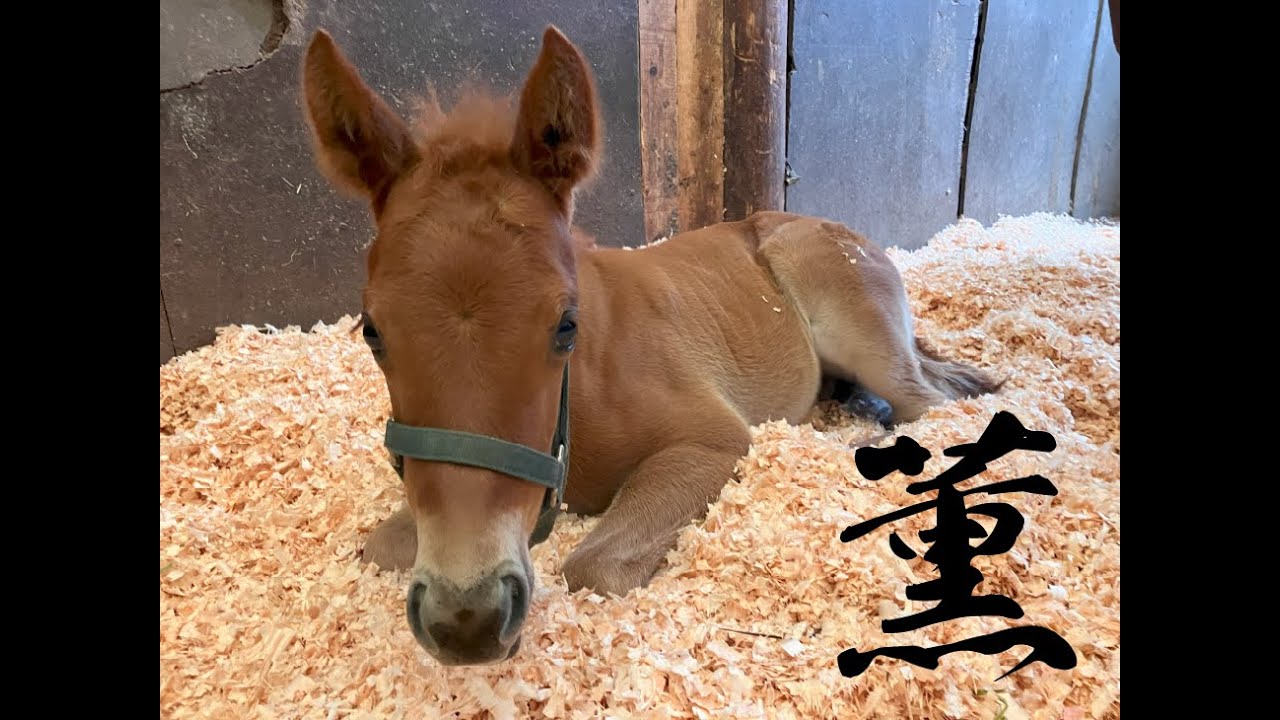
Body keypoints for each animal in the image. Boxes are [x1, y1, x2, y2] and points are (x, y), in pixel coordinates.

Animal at [300, 25, 1000, 667]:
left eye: (567, 324)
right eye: (371, 331)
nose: (468, 620)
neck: (585, 391)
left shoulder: (711, 440)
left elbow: (593, 565)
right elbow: (378, 546)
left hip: (857, 330)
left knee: (927, 399)